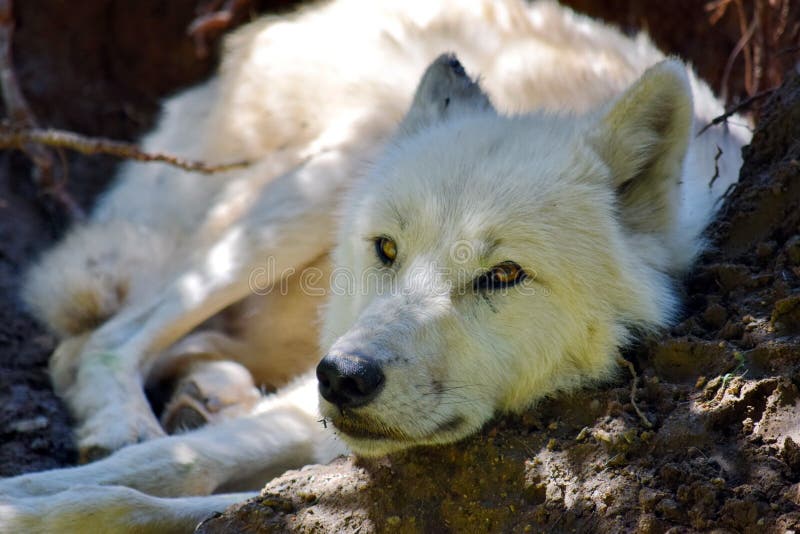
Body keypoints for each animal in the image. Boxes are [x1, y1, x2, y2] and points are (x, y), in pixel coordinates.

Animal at [0, 0, 749, 531]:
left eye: (504, 274)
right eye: (387, 248)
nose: (345, 378)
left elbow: (133, 503)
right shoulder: (313, 404)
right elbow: (163, 465)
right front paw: (23, 494)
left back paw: (207, 392)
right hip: (316, 189)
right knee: (103, 340)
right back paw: (128, 417)